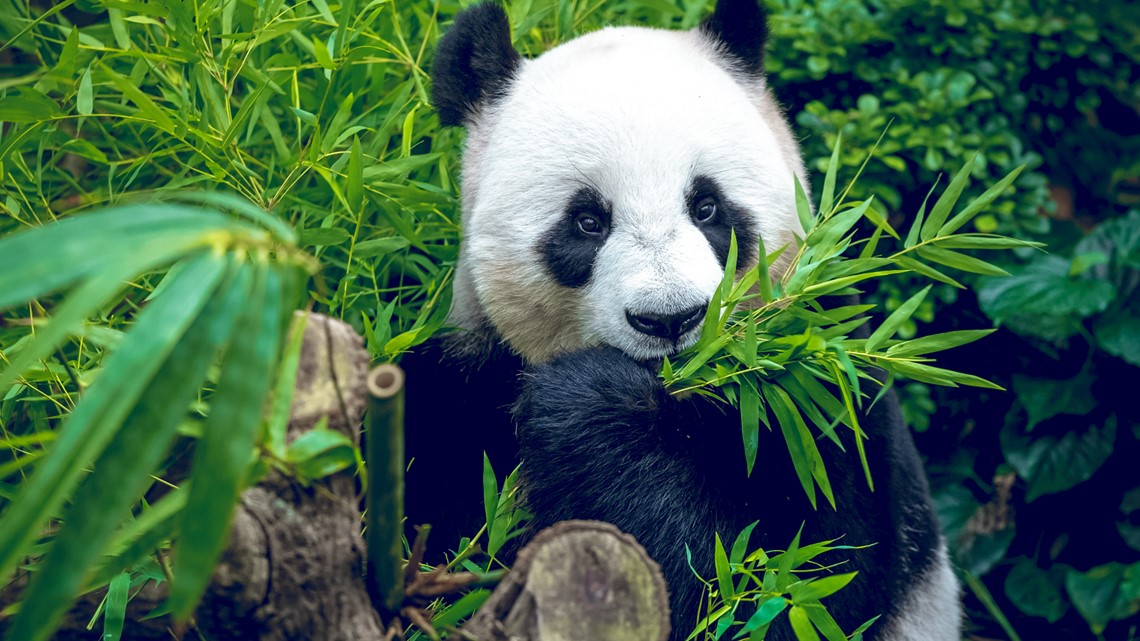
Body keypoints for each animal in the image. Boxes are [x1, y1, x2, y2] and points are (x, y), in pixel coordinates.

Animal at [401, 1, 962, 639]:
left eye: (708, 206)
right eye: (587, 221)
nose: (670, 318)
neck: (685, 396)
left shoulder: (822, 406)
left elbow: (789, 590)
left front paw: (589, 404)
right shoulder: (459, 393)